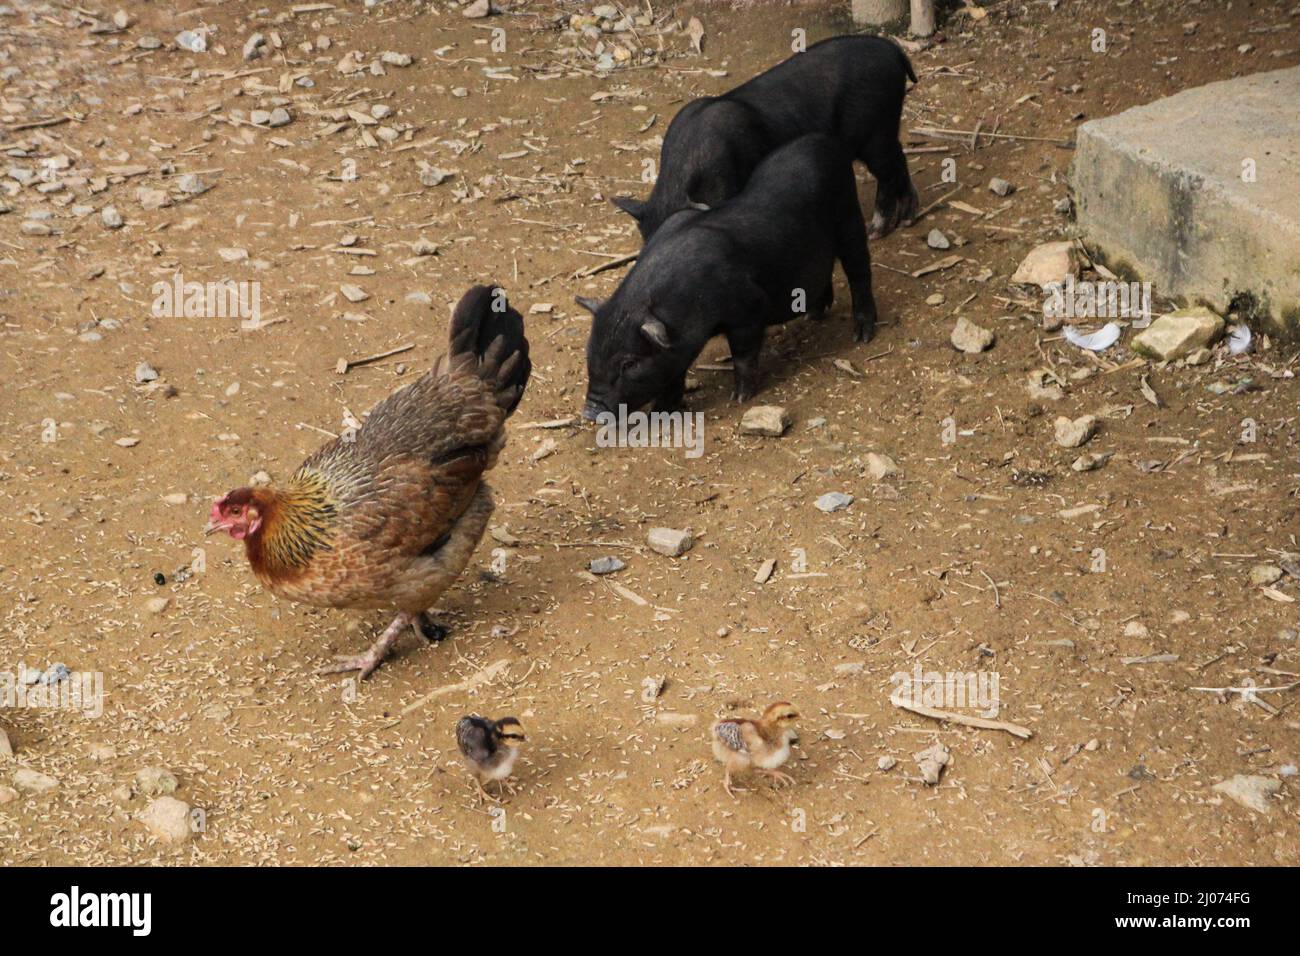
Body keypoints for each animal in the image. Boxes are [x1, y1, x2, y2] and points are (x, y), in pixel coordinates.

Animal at [580, 134, 875, 419]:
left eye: (629, 363)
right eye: (590, 353)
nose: (590, 412)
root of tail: (821, 141)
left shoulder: (749, 308)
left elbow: (743, 355)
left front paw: (740, 399)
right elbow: (672, 374)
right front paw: (660, 413)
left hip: (849, 219)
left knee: (859, 271)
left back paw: (862, 336)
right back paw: (812, 316)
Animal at [612, 34, 919, 243]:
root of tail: (894, 51)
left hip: (874, 129)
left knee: (888, 172)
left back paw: (875, 232)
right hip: (886, 126)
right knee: (899, 158)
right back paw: (907, 219)